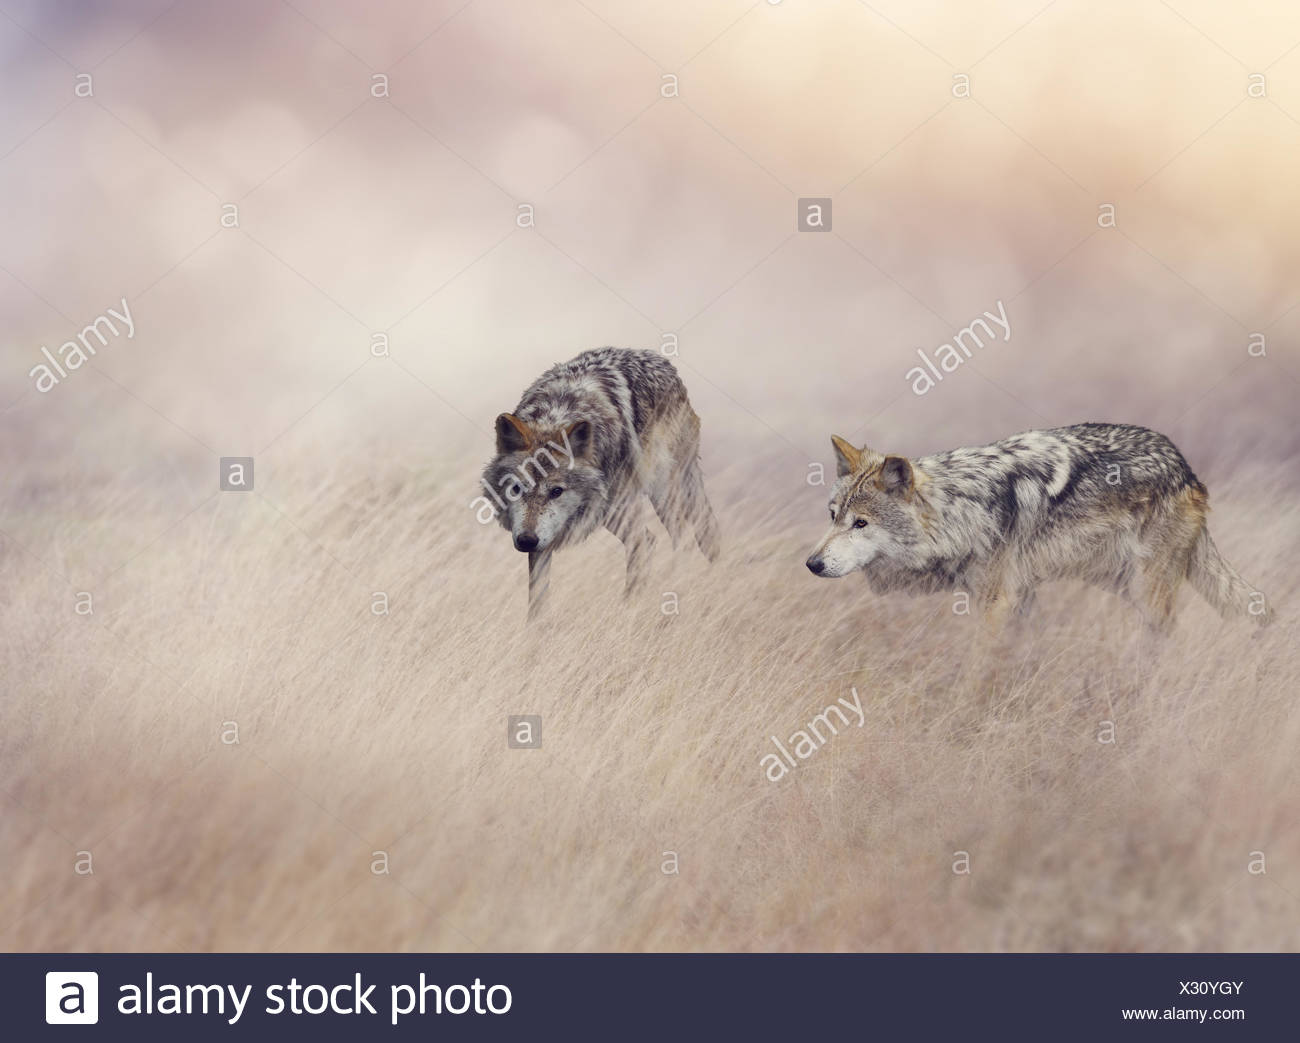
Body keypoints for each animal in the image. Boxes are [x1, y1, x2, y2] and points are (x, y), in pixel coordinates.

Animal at [483, 347, 720, 616]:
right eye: (516, 489)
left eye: (556, 491)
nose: (525, 541)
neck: (558, 414)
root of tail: (664, 364)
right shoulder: (542, 540)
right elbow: (538, 599)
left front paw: (630, 610)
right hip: (616, 515)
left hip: (656, 494)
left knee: (680, 536)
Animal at [804, 423, 1271, 631]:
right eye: (833, 516)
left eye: (861, 523)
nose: (812, 564)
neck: (962, 510)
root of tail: (1185, 468)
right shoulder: (1019, 600)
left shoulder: (998, 604)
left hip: (1145, 591)